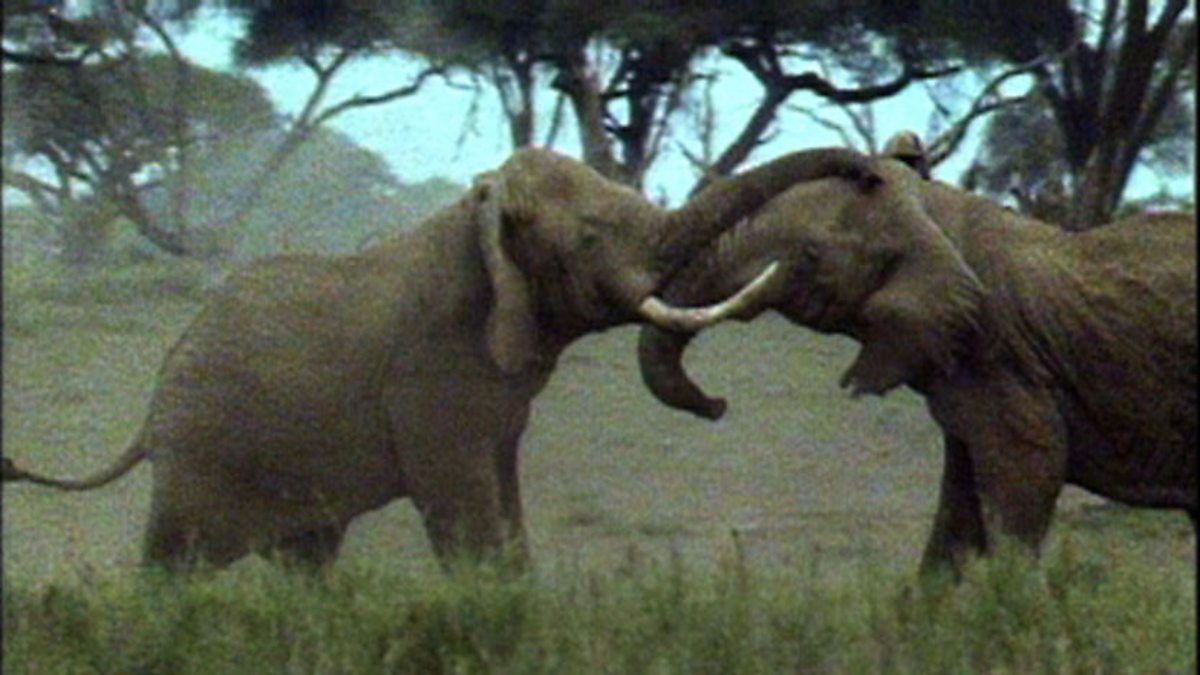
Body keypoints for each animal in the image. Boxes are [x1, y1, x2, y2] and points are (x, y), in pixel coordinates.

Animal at [3, 145, 880, 573]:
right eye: (592, 235)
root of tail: (151, 406)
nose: (876, 166)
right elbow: (466, 517)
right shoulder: (432, 379)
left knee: (306, 563)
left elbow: (506, 511)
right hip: (202, 457)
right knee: (175, 567)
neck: (471, 214)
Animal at [636, 146, 1197, 577]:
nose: (717, 405)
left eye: (811, 254)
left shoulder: (1004, 367)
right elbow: (954, 521)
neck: (937, 212)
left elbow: (1025, 486)